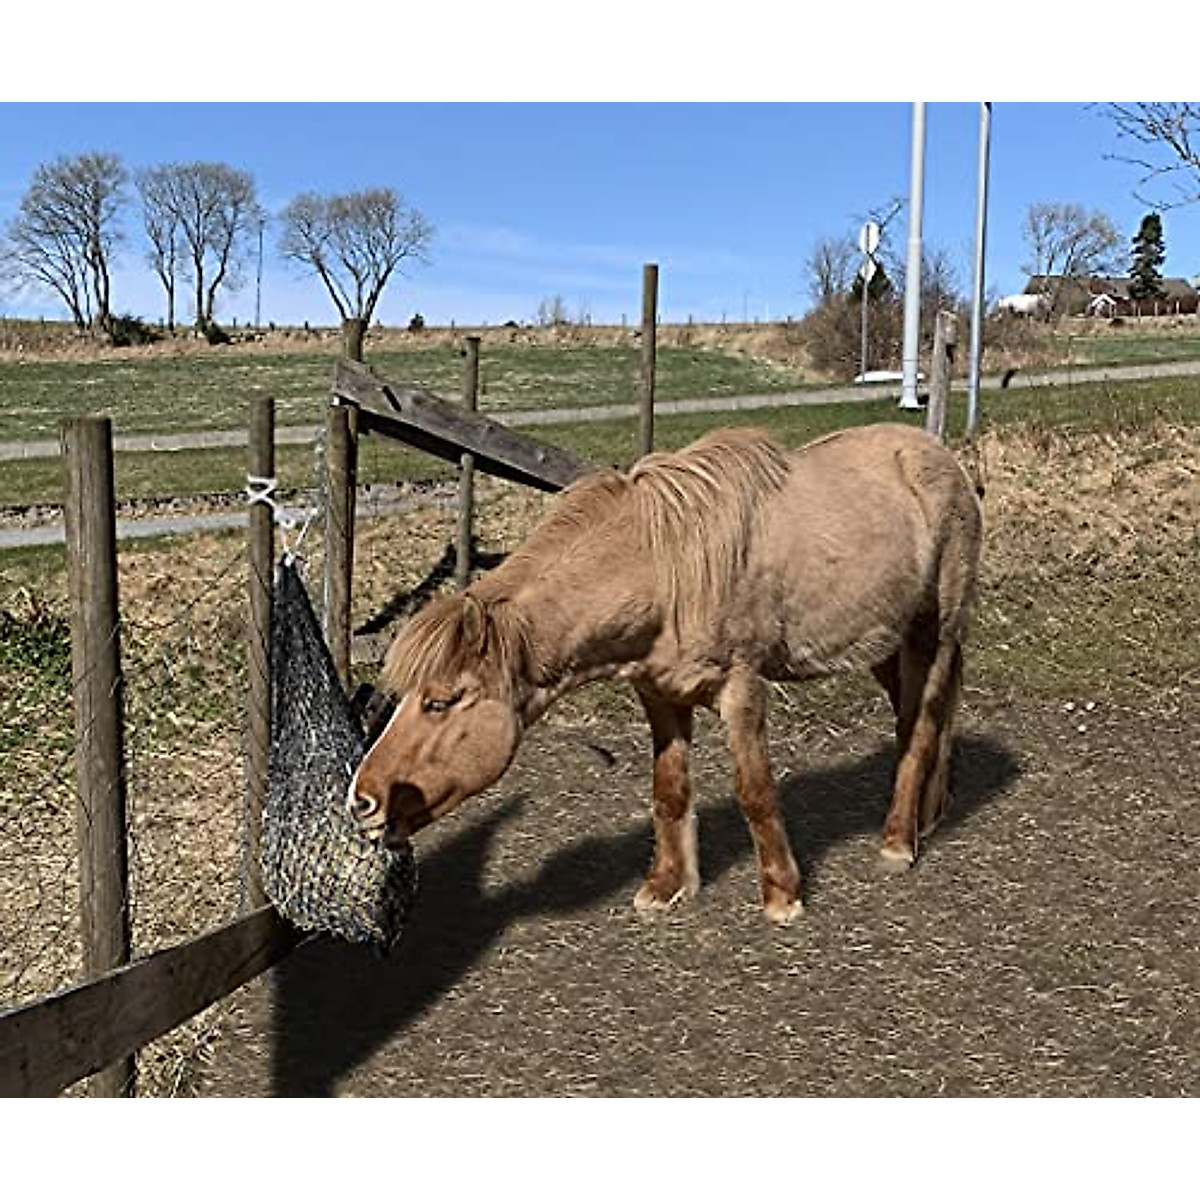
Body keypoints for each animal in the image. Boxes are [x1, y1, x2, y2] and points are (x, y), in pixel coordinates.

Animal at [348, 422, 984, 926]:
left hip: (933, 633)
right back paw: (930, 813)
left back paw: (899, 840)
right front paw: (668, 887)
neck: (667, 568)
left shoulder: (742, 690)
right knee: (915, 719)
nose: (363, 802)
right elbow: (669, 790)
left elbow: (755, 791)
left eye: (440, 701)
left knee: (923, 724)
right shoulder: (659, 695)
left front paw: (782, 895)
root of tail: (943, 460)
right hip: (885, 644)